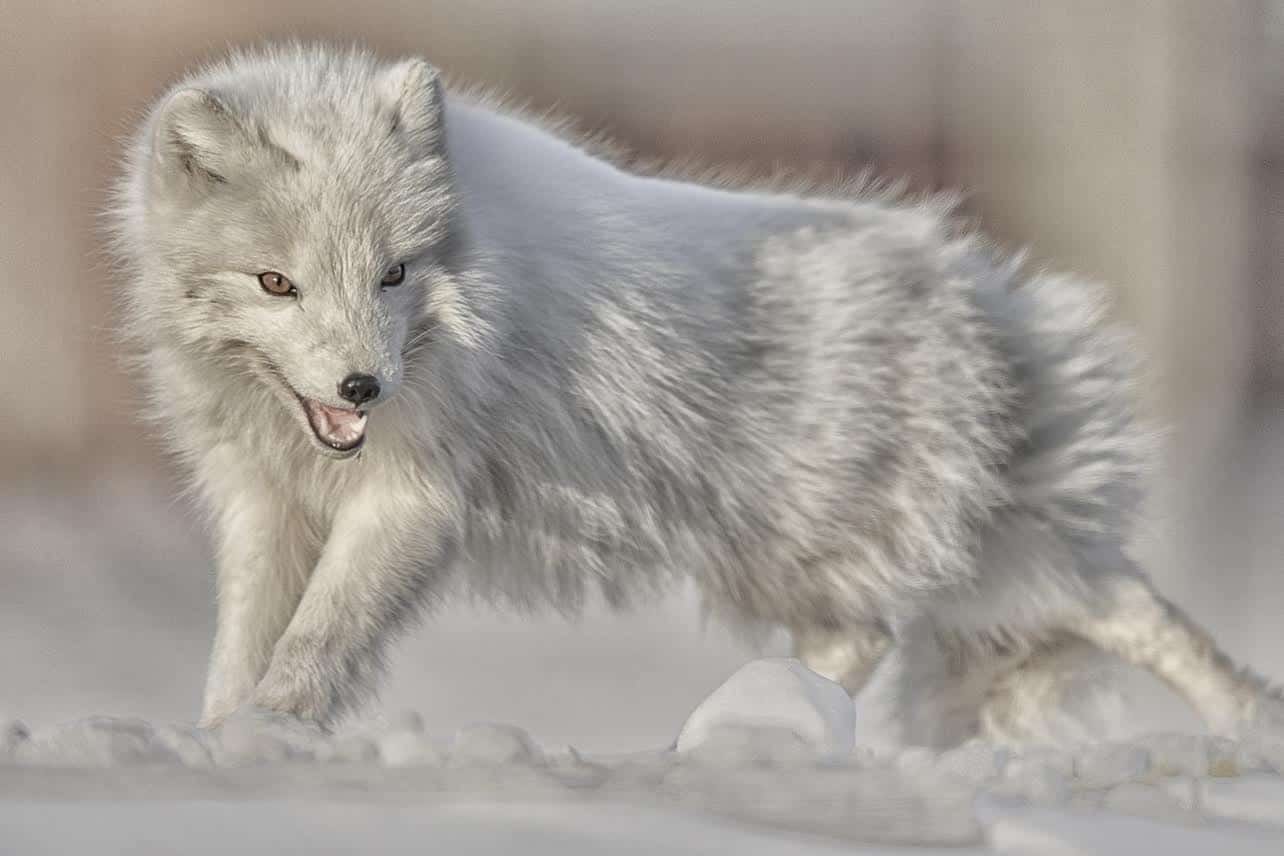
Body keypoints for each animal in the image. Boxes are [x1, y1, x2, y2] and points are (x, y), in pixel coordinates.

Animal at [110, 43, 1282, 746]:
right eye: (278, 282)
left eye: (394, 274)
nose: (366, 382)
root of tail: (970, 279)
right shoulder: (264, 504)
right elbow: (245, 644)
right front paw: (219, 745)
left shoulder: (411, 501)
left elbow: (313, 644)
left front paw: (266, 742)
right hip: (912, 555)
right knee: (1084, 607)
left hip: (842, 546)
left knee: (954, 626)